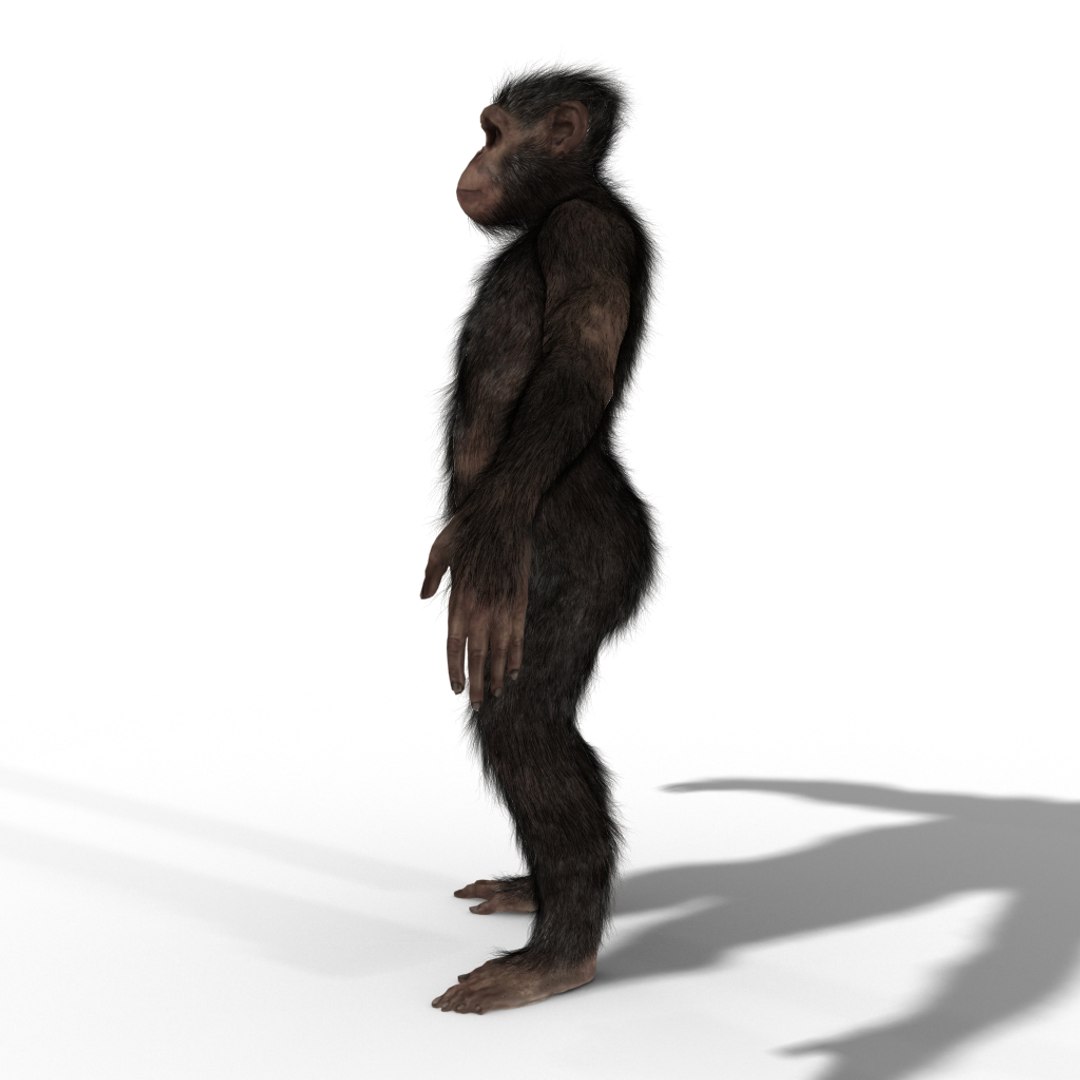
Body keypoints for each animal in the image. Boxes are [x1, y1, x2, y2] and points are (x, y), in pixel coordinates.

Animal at [420, 65, 659, 1014]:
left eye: (492, 131)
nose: (472, 159)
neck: (574, 192)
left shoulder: (585, 237)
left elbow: (569, 380)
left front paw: (476, 541)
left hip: (587, 565)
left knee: (524, 716)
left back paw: (558, 955)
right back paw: (540, 894)